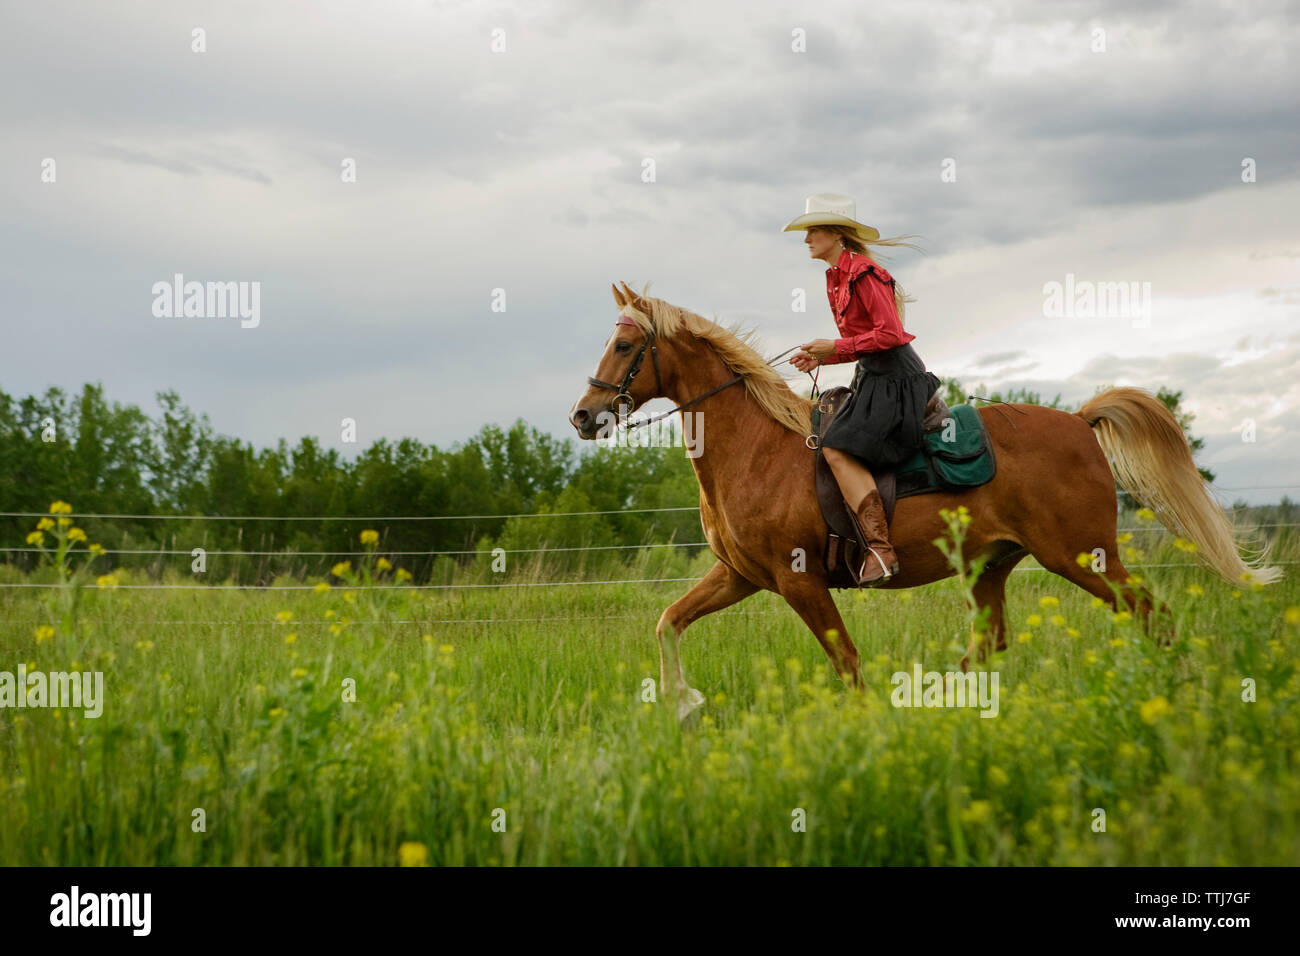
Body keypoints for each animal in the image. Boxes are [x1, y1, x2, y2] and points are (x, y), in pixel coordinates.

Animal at [568, 282, 1283, 719]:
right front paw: (683, 706)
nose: (582, 416)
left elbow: (847, 662)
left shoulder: (799, 582)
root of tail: (1080, 422)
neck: (755, 446)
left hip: (1082, 556)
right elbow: (668, 622)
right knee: (990, 642)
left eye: (625, 345)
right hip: (993, 564)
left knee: (1151, 615)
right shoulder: (739, 576)